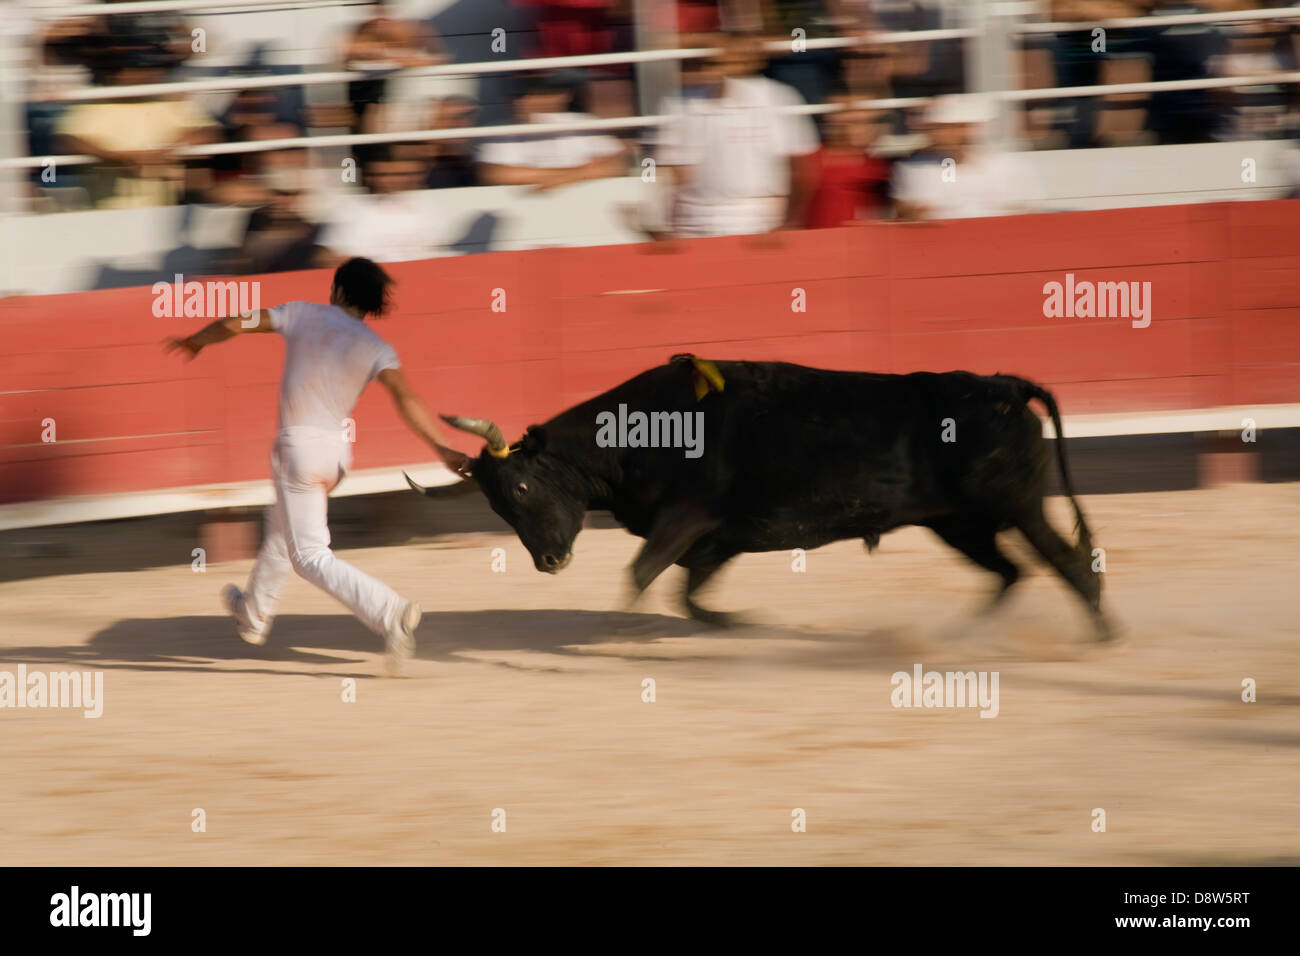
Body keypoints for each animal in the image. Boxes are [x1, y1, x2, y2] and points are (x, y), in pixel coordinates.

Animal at [406, 354, 1113, 641]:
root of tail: (1003, 385)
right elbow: (689, 596)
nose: (550, 563)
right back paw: (959, 635)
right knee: (1010, 572)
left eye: (523, 486)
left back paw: (1102, 635)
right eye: (497, 507)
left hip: (1017, 508)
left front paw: (616, 633)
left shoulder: (687, 519)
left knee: (1068, 565)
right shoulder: (717, 537)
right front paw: (744, 623)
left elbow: (642, 576)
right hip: (958, 523)